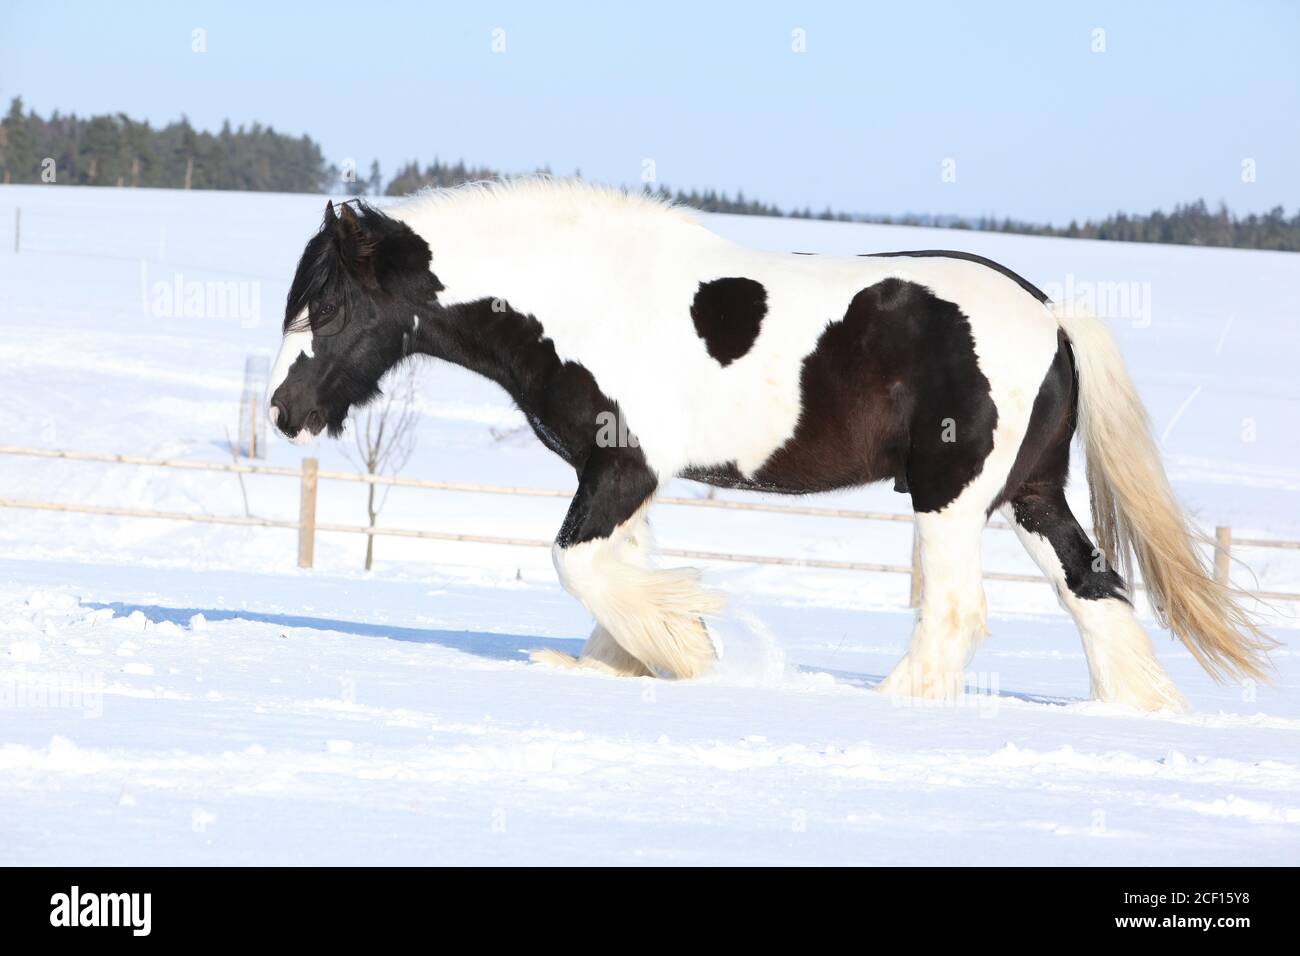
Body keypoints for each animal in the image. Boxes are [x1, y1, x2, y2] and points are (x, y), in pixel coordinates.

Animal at [266, 179, 1273, 710]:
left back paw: (893, 706)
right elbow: (616, 574)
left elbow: (582, 566)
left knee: (958, 611)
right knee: (1093, 589)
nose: (284, 411)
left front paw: (687, 651)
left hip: (950, 496)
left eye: (330, 304)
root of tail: (1055, 315)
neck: (585, 298)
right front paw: (622, 661)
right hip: (1030, 496)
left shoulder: (620, 468)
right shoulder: (622, 477)